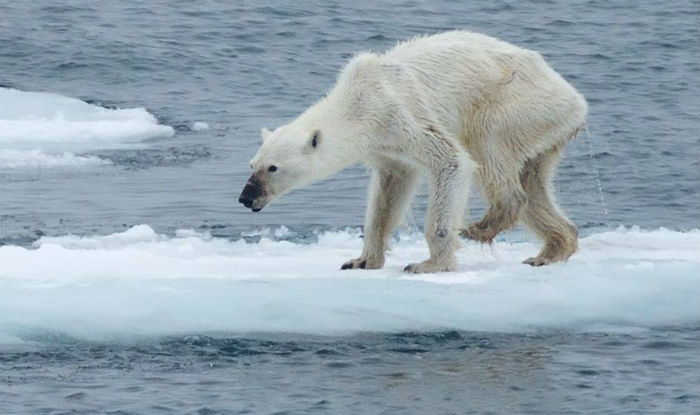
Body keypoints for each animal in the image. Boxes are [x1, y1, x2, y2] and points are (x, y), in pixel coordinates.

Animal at [239, 30, 587, 273]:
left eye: (272, 168)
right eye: (252, 164)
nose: (245, 197)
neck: (357, 102)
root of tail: (576, 99)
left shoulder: (398, 114)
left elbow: (451, 161)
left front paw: (429, 264)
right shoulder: (384, 146)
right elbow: (388, 191)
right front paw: (361, 260)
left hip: (517, 103)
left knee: (489, 147)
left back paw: (481, 226)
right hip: (543, 129)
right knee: (533, 183)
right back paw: (550, 250)